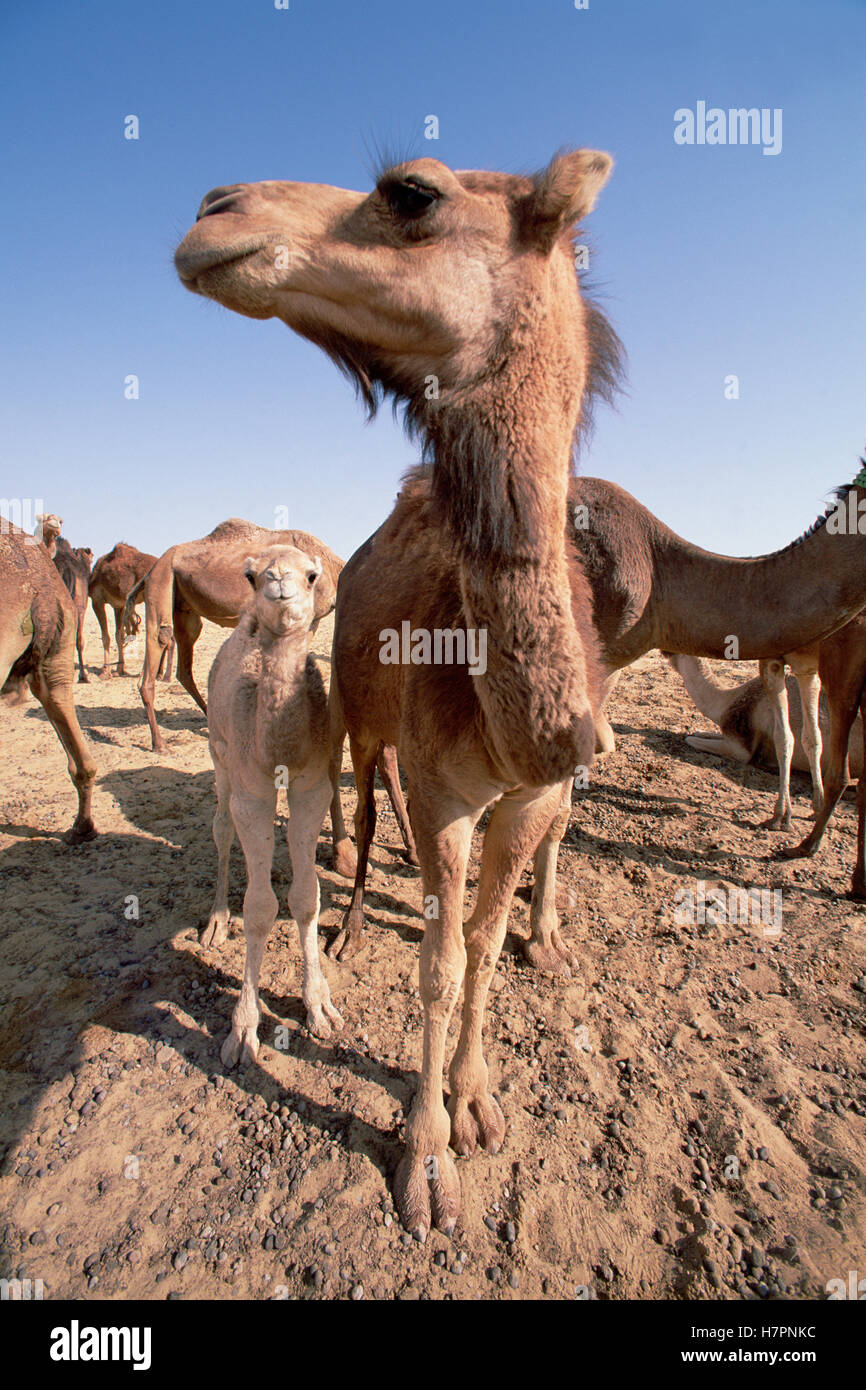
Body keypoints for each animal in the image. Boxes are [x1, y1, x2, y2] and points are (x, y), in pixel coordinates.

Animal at [89, 542, 174, 680]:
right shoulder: (118, 605)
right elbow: (119, 635)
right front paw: (119, 670)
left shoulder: (96, 600)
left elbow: (105, 636)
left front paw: (105, 672)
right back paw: (160, 674)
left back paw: (161, 675)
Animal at [204, 544, 342, 1058]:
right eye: (250, 574)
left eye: (311, 575)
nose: (277, 580)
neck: (279, 749)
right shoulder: (252, 794)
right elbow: (260, 908)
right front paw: (243, 1028)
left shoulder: (313, 787)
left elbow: (306, 897)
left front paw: (319, 1006)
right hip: (220, 755)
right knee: (221, 829)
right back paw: (216, 920)